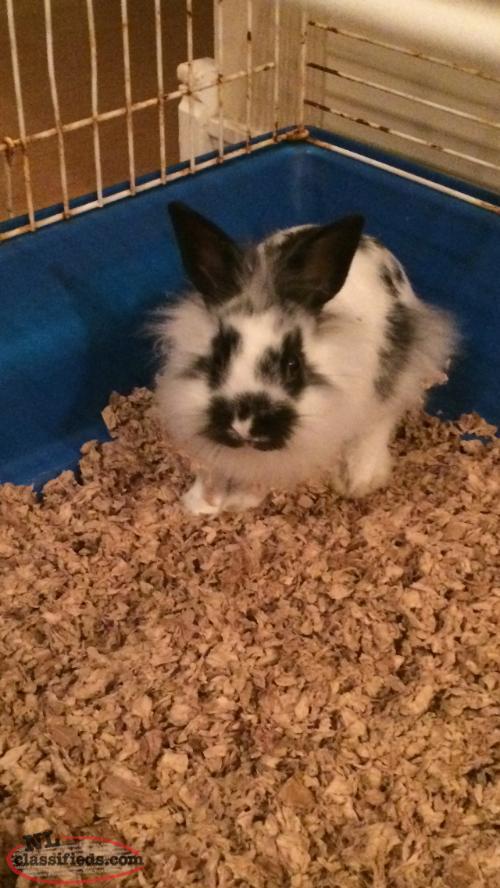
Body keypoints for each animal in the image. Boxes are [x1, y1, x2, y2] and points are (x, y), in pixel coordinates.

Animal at [153, 201, 459, 515]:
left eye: (293, 365)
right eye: (218, 358)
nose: (244, 425)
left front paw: (241, 500)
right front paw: (200, 503)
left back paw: (360, 479)